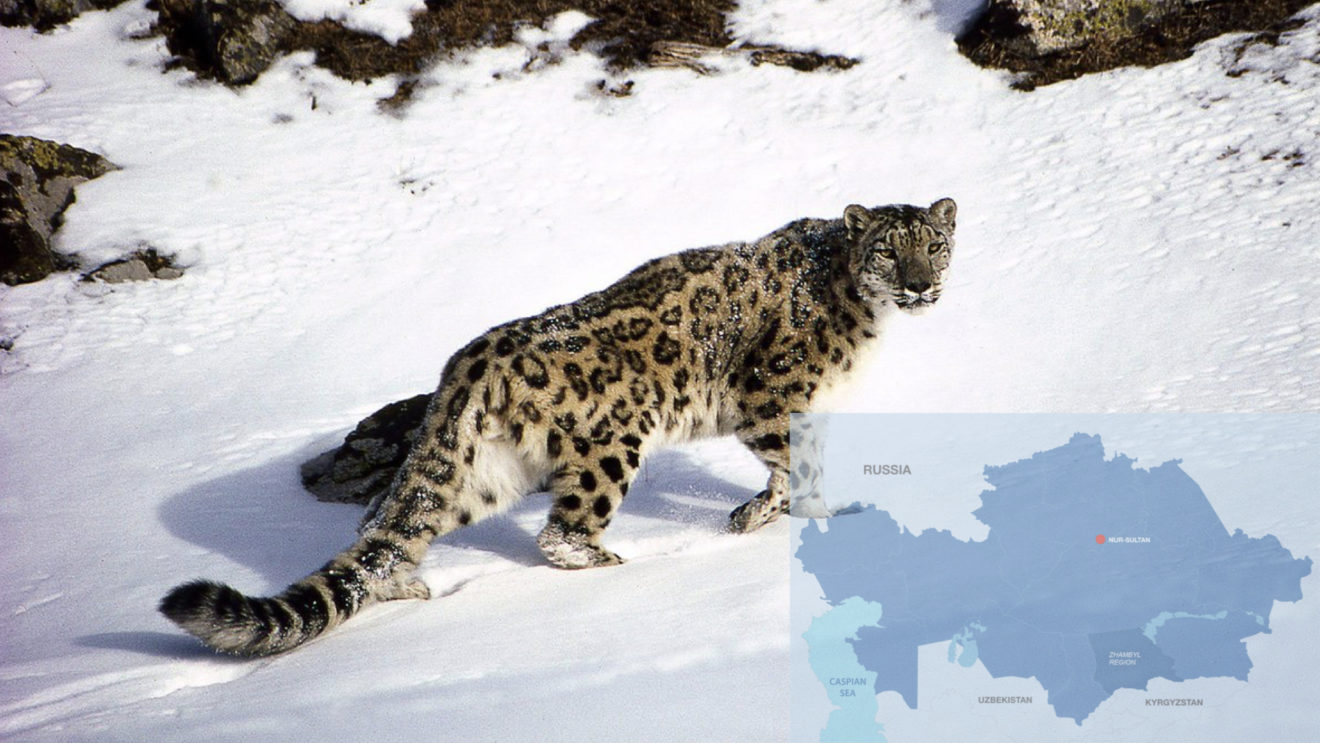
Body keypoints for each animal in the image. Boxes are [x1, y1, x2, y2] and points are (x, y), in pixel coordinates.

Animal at [160, 197, 957, 656]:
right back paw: (617, 564)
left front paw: (753, 515)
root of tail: (468, 363)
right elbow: (799, 464)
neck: (864, 311)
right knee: (562, 533)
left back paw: (403, 587)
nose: (922, 284)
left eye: (935, 245)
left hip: (481, 474)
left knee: (387, 531)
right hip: (614, 443)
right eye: (890, 249)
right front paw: (823, 514)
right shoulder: (774, 396)